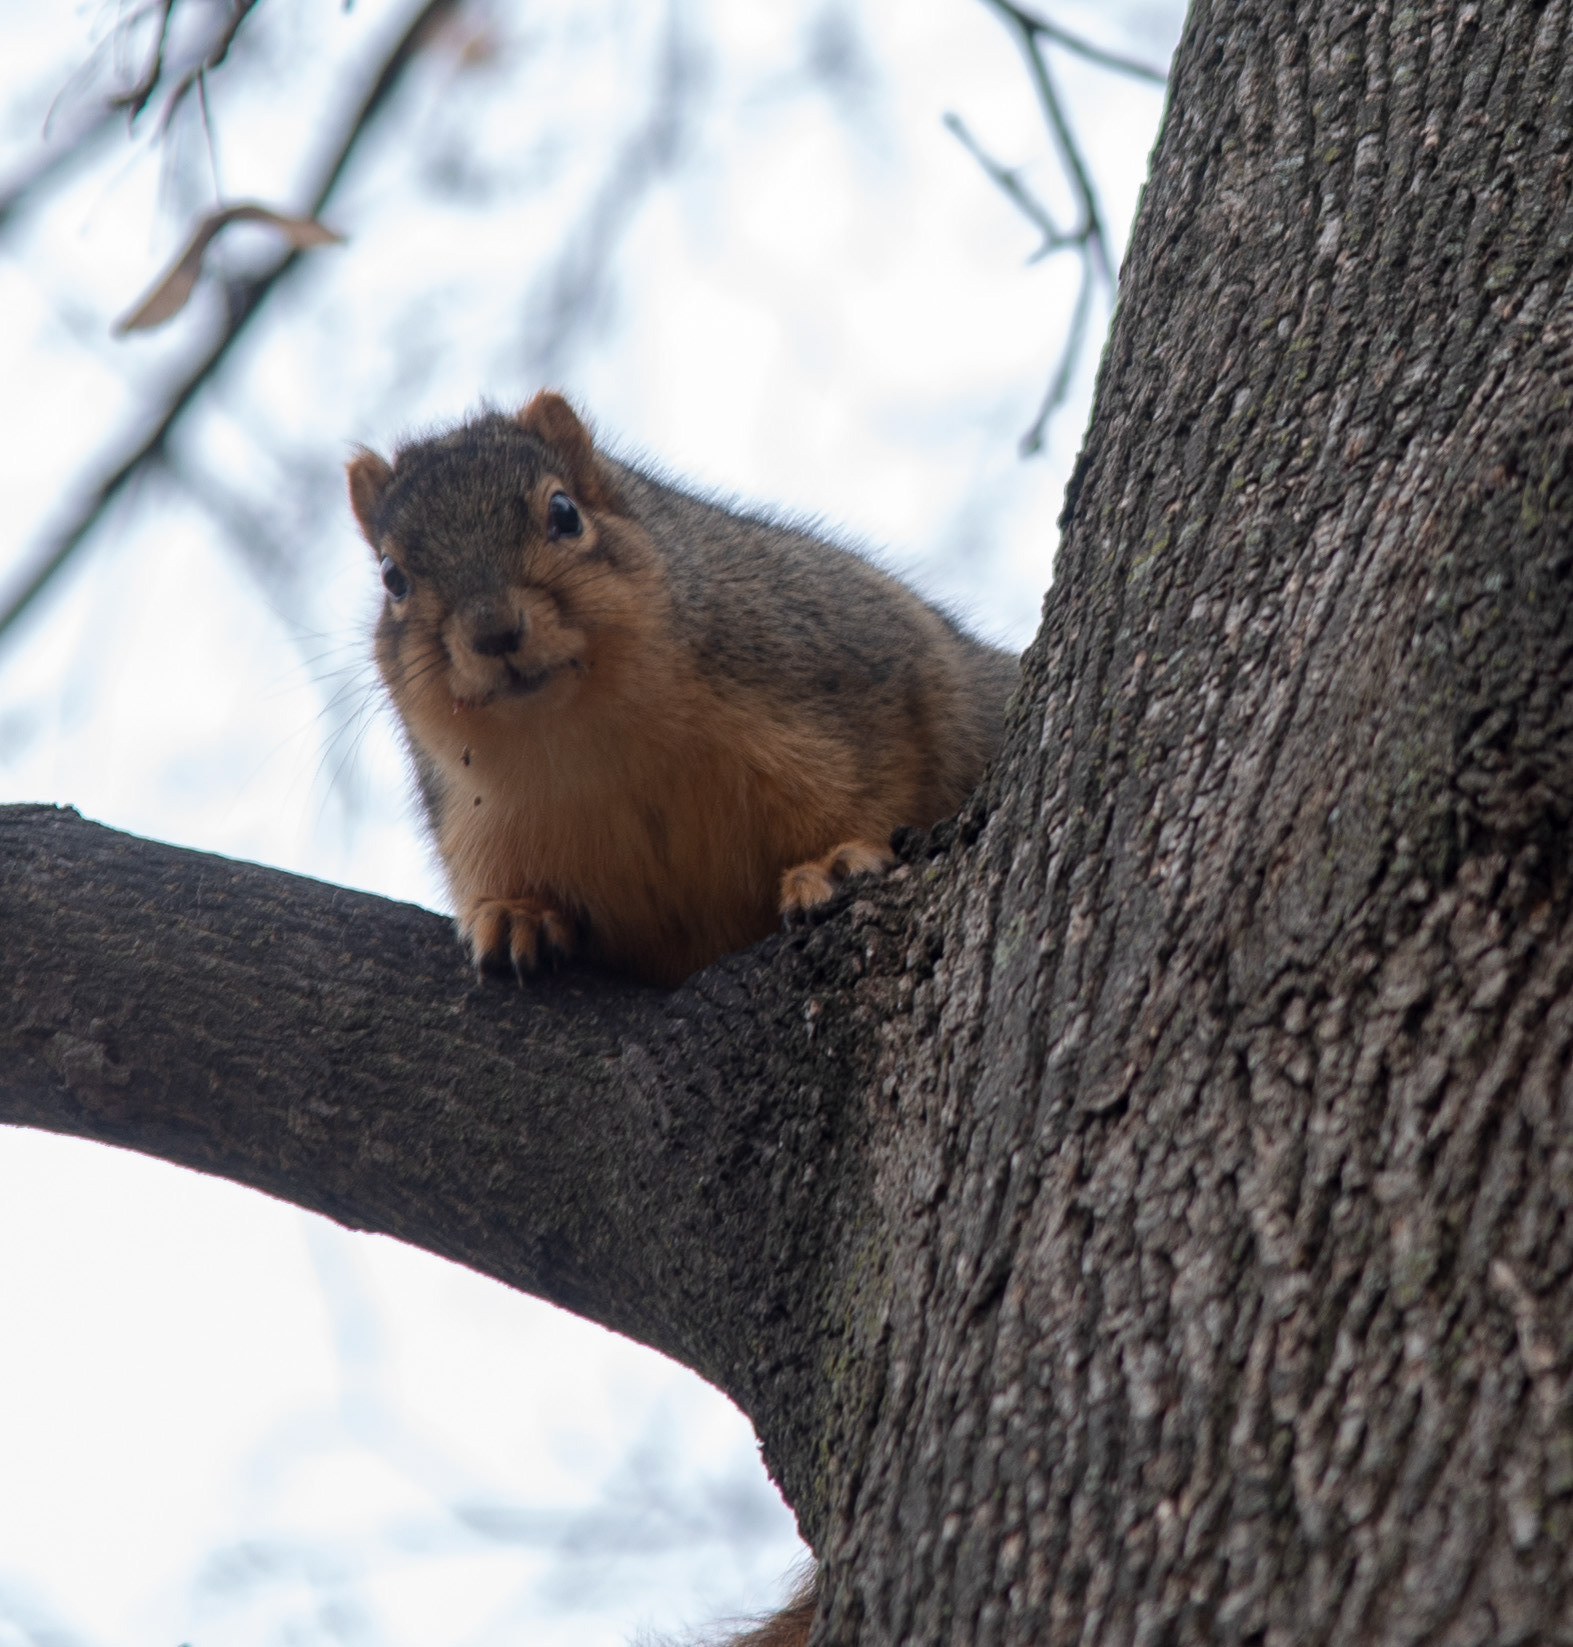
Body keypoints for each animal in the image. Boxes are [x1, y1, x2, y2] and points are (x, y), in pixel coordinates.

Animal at [347, 391, 1019, 988]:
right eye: (392, 577)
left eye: (564, 513)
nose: (493, 630)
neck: (589, 735)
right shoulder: (471, 816)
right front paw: (519, 914)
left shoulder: (850, 662)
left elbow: (883, 772)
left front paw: (833, 861)